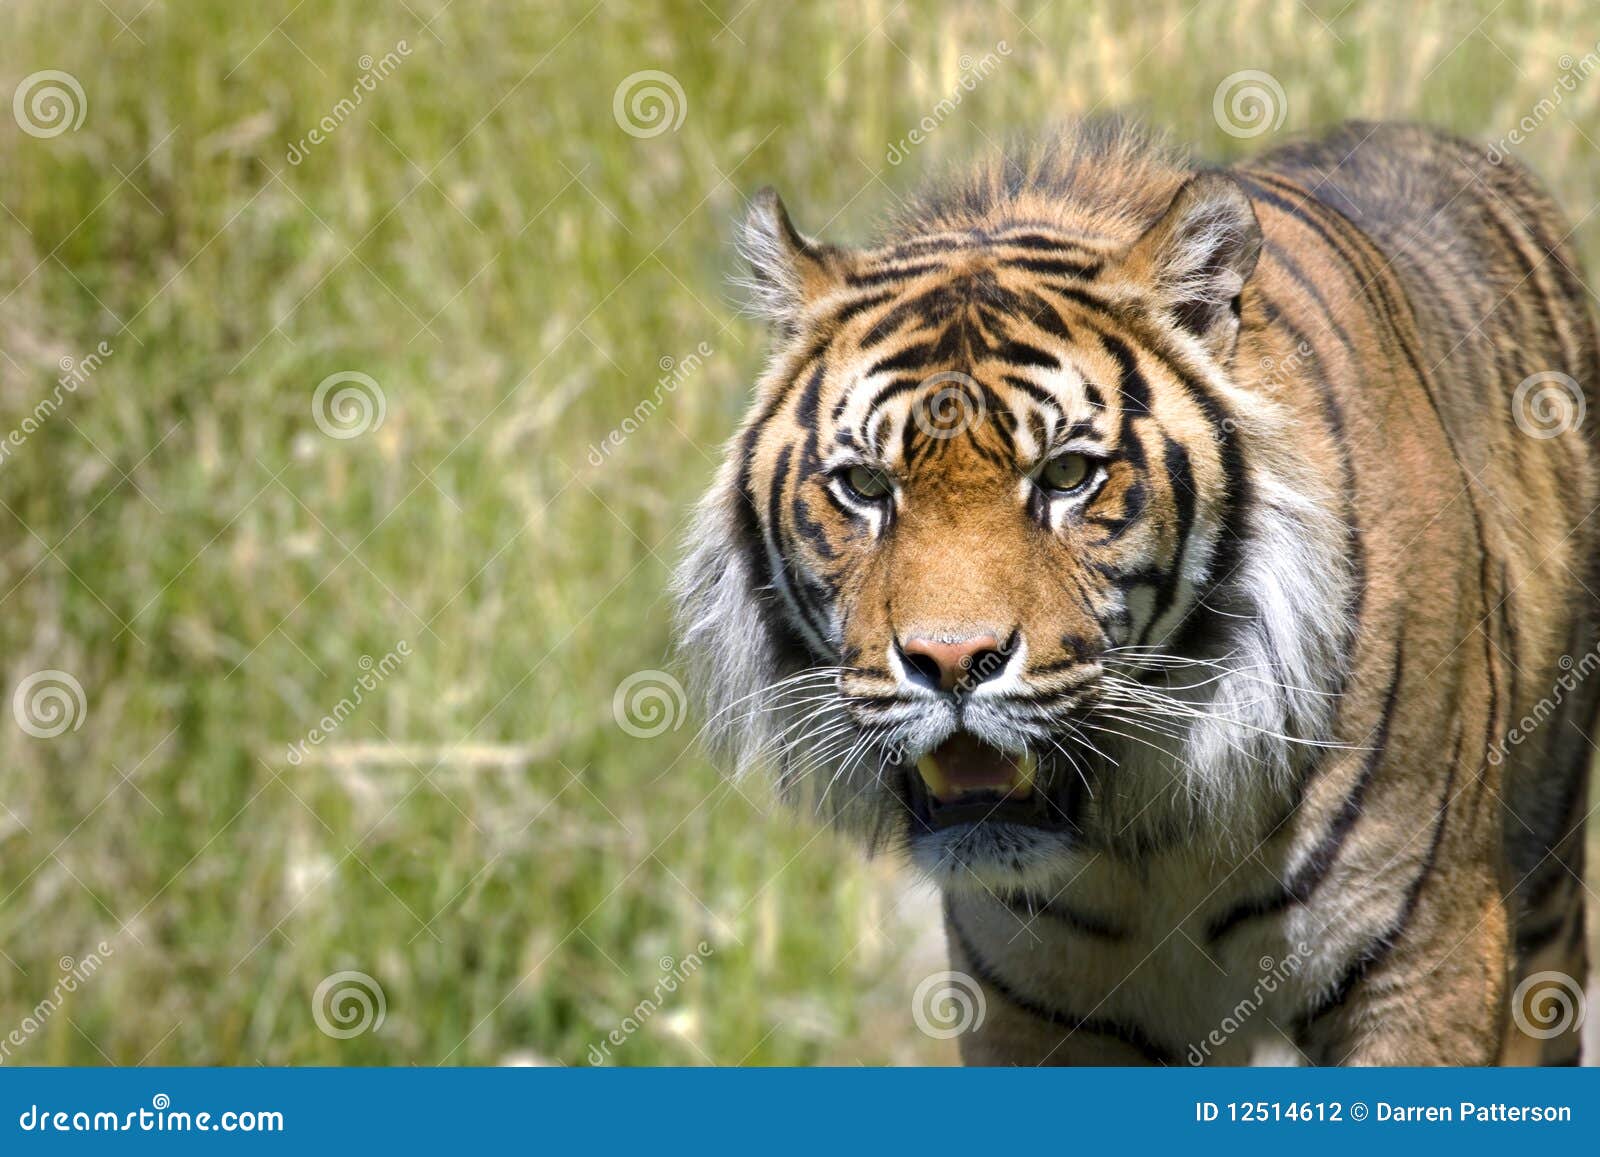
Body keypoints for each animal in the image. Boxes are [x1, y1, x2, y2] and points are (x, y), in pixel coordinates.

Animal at [674, 118, 1599, 1066]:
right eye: (864, 485)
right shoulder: (1030, 1008)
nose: (952, 660)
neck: (1151, 842)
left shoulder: (1422, 962)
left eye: (1067, 475)